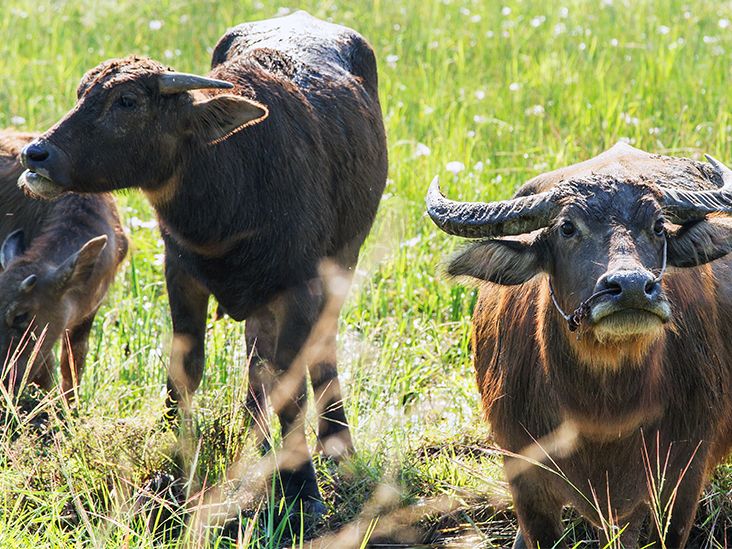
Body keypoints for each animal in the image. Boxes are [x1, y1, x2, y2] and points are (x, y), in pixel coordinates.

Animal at [19, 11, 387, 513]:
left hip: (342, 265)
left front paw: (302, 489)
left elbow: (292, 385)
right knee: (257, 360)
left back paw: (336, 445)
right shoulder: (182, 275)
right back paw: (255, 443)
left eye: (127, 101)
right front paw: (176, 464)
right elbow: (186, 371)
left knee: (319, 352)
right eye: (82, 92)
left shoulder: (299, 286)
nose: (36, 154)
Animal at [427, 142, 732, 548]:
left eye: (658, 226)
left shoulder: (681, 483)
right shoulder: (527, 483)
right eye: (567, 227)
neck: (605, 411)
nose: (632, 287)